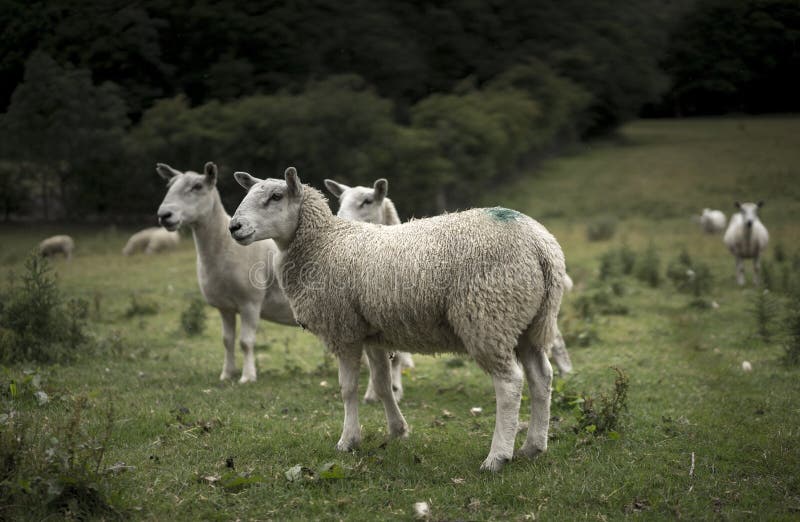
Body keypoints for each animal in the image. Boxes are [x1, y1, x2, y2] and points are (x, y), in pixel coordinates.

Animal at [324, 177, 415, 402]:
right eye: (340, 200)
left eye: (368, 201)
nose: (341, 220)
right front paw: (372, 393)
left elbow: (394, 359)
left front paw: (395, 390)